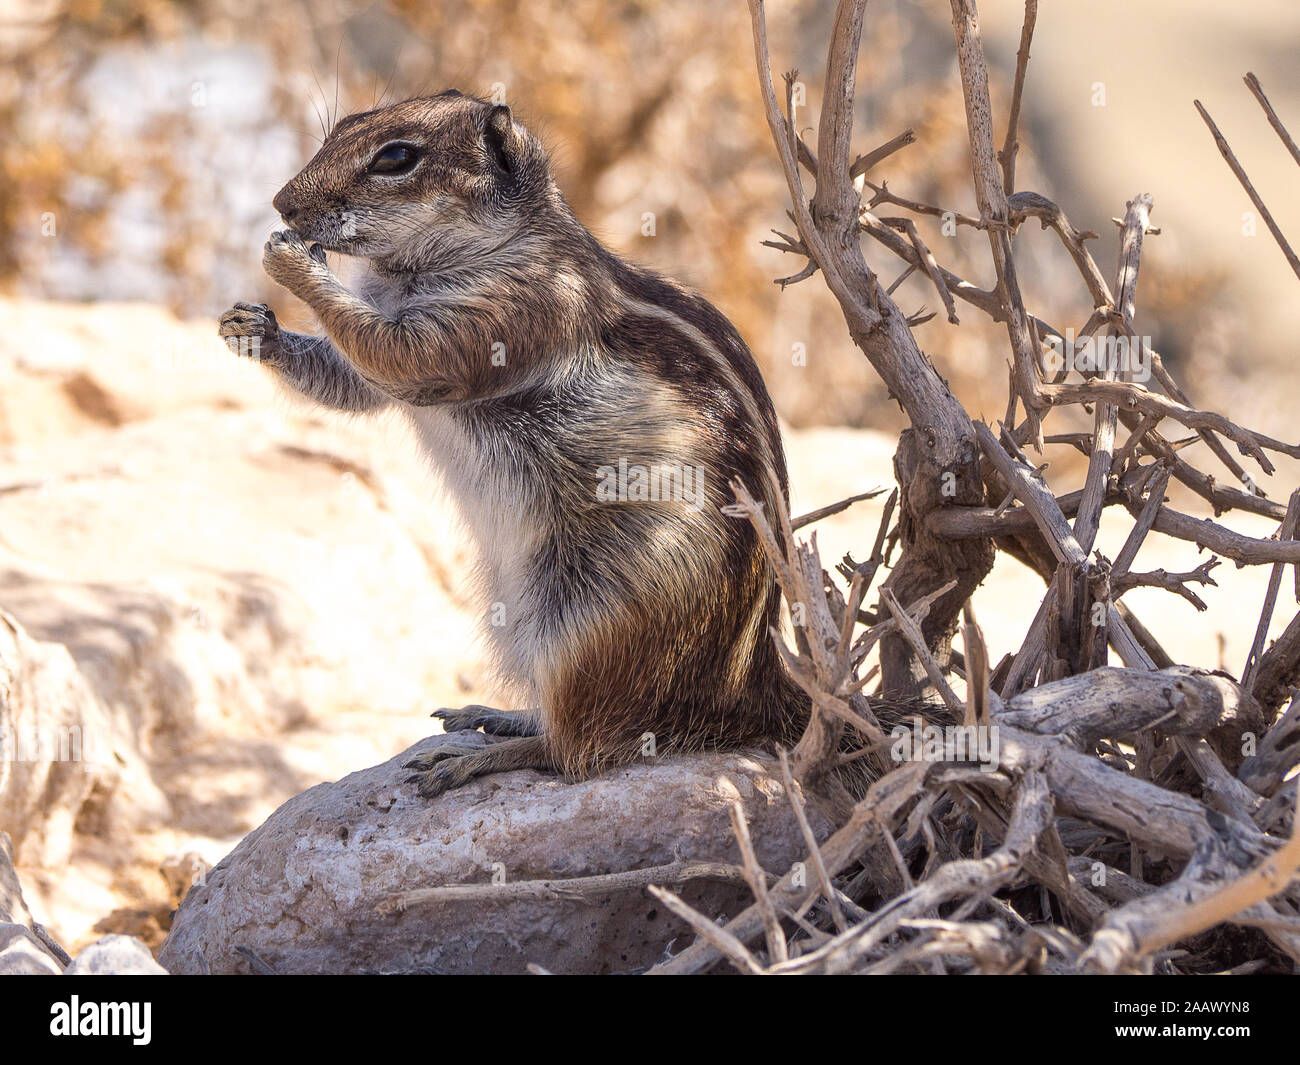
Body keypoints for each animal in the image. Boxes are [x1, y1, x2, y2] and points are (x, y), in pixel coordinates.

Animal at [218, 90, 817, 798]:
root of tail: (752, 690)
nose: (282, 204)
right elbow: (355, 383)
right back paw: (501, 716)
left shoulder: (514, 310)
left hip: (591, 621)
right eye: (341, 127)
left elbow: (397, 356)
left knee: (578, 748)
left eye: (397, 158)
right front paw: (252, 327)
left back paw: (481, 756)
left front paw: (289, 260)